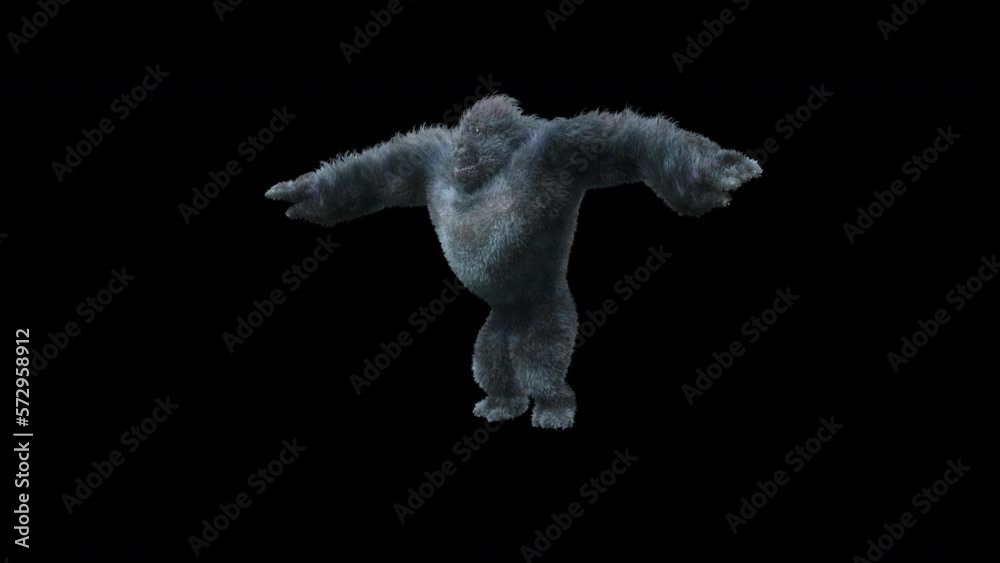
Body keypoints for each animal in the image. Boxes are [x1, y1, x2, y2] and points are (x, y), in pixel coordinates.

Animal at [266, 94, 761, 429]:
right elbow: (373, 176)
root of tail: (513, 318)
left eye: (478, 135)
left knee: (539, 362)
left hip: (549, 312)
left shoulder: (558, 151)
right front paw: (302, 192)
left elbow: (622, 140)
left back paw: (555, 406)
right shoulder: (430, 158)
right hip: (497, 327)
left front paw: (718, 168)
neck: (488, 172)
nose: (464, 149)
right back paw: (501, 401)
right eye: (464, 135)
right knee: (491, 362)